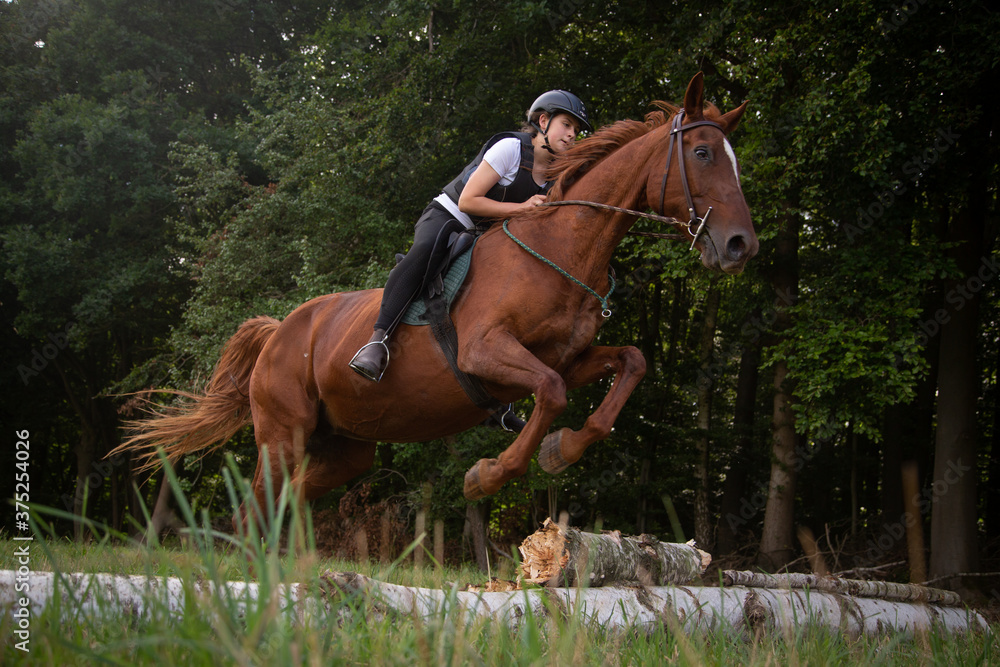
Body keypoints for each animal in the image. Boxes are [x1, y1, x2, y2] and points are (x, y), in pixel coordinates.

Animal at [114, 72, 757, 530]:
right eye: (702, 154)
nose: (740, 245)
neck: (562, 248)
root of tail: (279, 331)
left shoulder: (569, 358)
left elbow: (630, 364)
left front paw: (562, 450)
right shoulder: (484, 351)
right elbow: (549, 393)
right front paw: (487, 476)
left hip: (345, 447)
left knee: (291, 501)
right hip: (282, 432)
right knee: (258, 507)